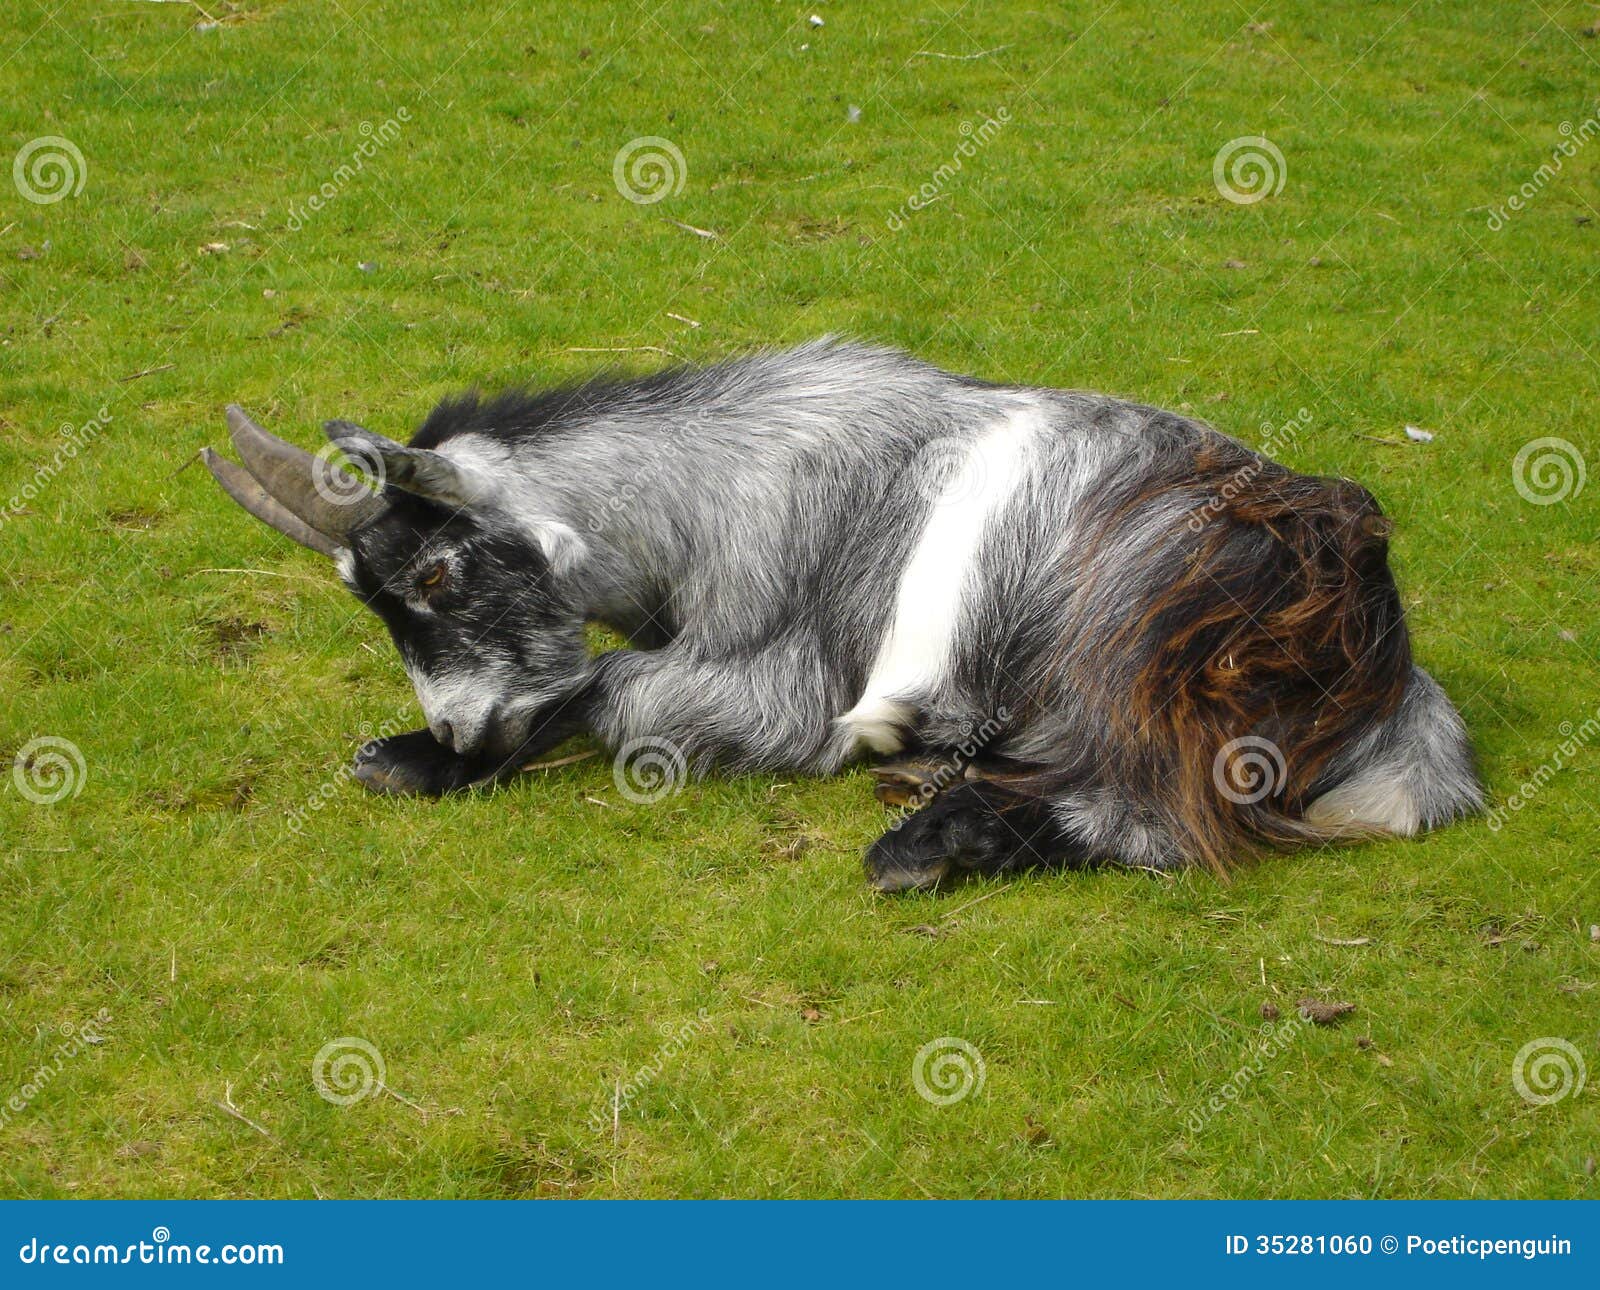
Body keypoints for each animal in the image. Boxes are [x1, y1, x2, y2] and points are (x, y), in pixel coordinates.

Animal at [202, 340, 1481, 890]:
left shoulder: (772, 679)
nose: (457, 729)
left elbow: (612, 694)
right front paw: (412, 752)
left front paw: (420, 761)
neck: (709, 489)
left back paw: (922, 845)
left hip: (1140, 645)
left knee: (1159, 818)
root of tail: (1387, 652)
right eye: (372, 599)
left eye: (435, 577)